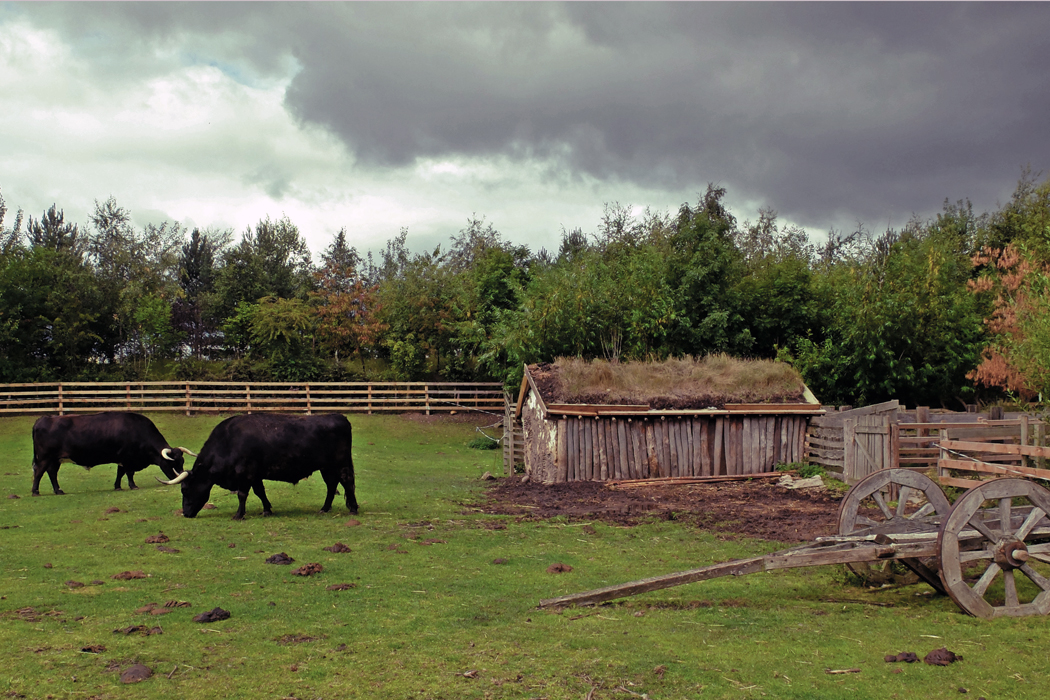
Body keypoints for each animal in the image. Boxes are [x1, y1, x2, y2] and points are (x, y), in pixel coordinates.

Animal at [31, 412, 194, 496]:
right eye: (171, 463)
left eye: (182, 462)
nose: (181, 478)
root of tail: (43, 419)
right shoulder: (128, 458)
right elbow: (128, 473)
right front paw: (133, 486)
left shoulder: (122, 458)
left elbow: (120, 472)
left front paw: (117, 486)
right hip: (45, 457)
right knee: (39, 472)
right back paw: (35, 491)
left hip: (55, 459)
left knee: (52, 473)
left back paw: (58, 490)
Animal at [159, 413, 358, 520]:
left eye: (185, 490)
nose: (186, 513)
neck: (228, 442)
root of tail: (339, 417)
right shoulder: (254, 475)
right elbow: (260, 492)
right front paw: (267, 509)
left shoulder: (244, 474)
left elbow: (242, 494)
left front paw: (239, 515)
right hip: (327, 467)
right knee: (332, 485)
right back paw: (324, 508)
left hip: (341, 464)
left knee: (347, 482)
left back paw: (353, 509)